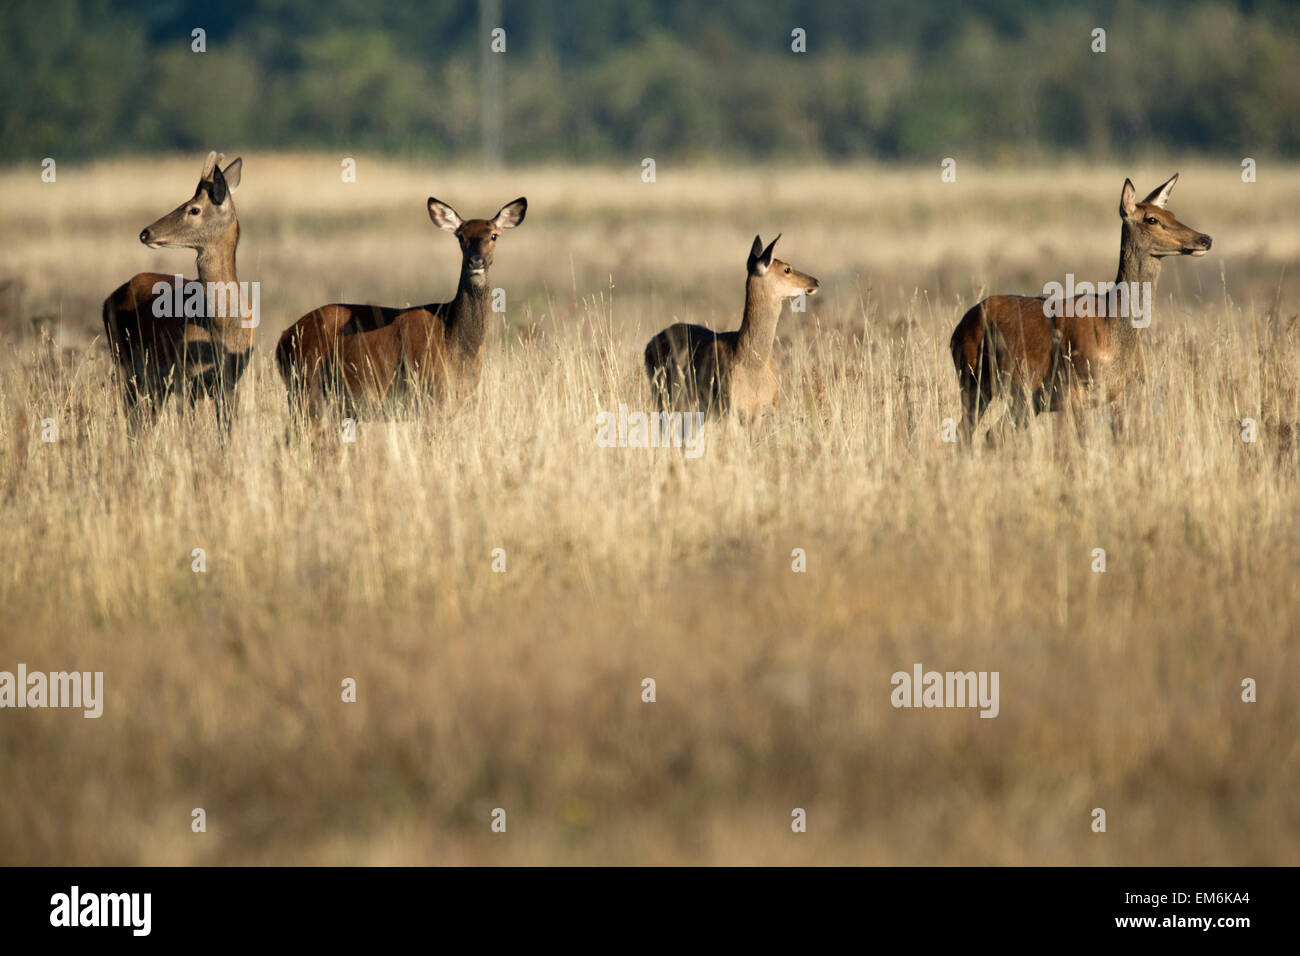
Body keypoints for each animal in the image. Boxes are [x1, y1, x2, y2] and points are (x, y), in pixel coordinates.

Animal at [102, 151, 252, 434]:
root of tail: (108, 299)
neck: (220, 326)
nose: (145, 232)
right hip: (125, 362)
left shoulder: (231, 381)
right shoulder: (184, 376)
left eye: (194, 209)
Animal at [275, 196, 526, 421]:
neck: (456, 342)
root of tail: (283, 338)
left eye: (494, 235)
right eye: (460, 236)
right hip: (306, 385)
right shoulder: (427, 393)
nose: (476, 261)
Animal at [644, 234, 820, 424]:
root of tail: (649, 344)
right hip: (663, 395)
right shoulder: (727, 410)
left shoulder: (761, 413)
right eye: (787, 269)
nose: (815, 281)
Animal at [950, 174, 1212, 443]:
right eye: (1152, 219)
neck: (1112, 327)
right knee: (964, 431)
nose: (1205, 239)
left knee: (993, 434)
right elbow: (1084, 439)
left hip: (1024, 397)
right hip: (971, 376)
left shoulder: (1121, 392)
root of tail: (958, 328)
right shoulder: (1073, 388)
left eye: (1171, 213)